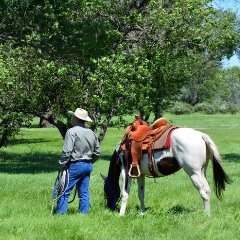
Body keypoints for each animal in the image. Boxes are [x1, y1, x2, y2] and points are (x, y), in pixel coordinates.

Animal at [102, 127, 232, 216]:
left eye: (106, 191)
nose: (109, 207)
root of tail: (200, 135)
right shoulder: (140, 175)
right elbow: (141, 194)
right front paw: (142, 212)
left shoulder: (125, 171)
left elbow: (125, 193)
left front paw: (121, 214)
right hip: (201, 171)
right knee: (207, 190)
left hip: (193, 173)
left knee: (204, 192)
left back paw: (206, 215)